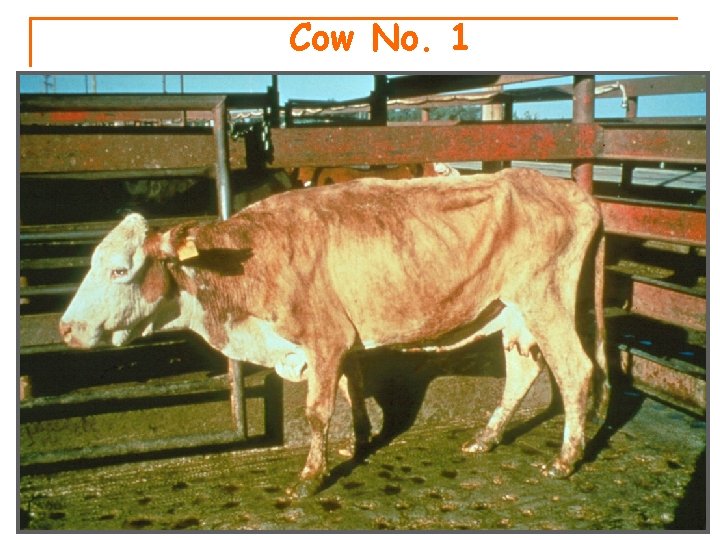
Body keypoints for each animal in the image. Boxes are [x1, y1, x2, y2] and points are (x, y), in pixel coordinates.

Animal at [59, 168, 608, 497]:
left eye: (120, 270)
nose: (66, 328)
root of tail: (572, 190)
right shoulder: (344, 342)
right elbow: (352, 390)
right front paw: (357, 445)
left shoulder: (324, 340)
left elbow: (318, 411)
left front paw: (309, 476)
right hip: (512, 310)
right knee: (523, 370)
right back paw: (486, 439)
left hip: (546, 300)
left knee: (576, 371)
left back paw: (565, 460)